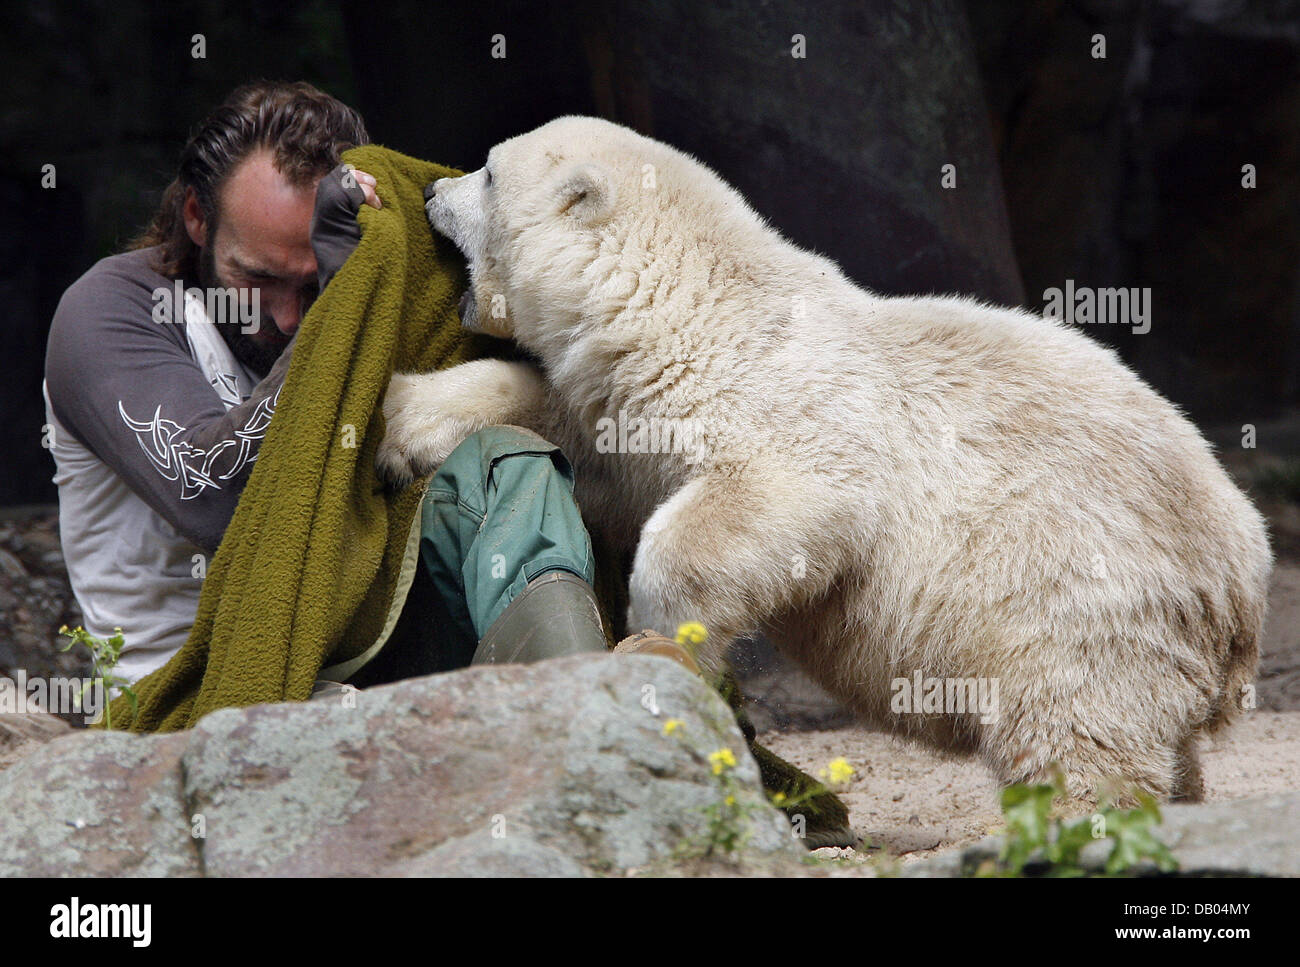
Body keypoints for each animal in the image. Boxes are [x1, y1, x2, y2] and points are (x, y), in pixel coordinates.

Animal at [376, 115, 1272, 803]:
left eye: (489, 170)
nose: (430, 193)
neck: (692, 310)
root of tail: (1245, 577)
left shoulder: (797, 410)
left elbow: (759, 510)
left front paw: (659, 642)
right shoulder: (626, 405)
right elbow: (576, 437)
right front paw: (401, 425)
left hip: (1082, 584)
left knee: (1074, 725)